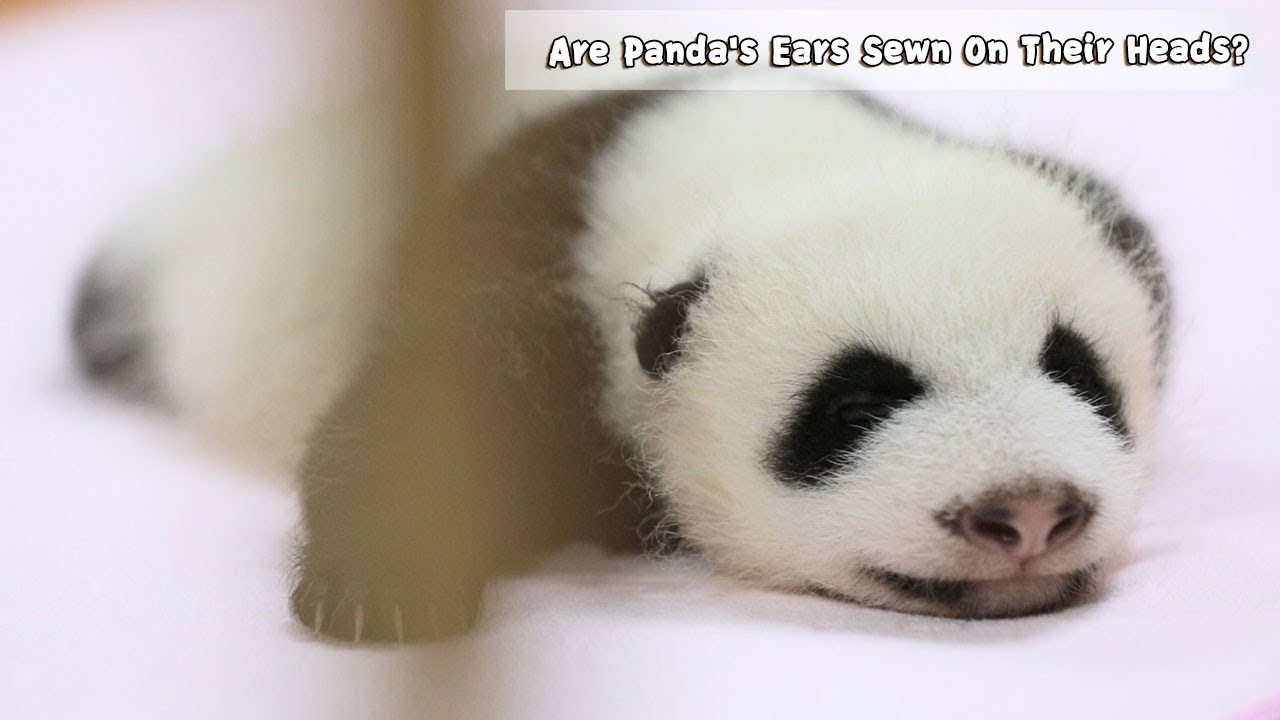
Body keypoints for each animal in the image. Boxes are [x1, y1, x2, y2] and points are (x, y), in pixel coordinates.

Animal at [72, 78, 1170, 643]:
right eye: (851, 409)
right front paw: (385, 591)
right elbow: (429, 398)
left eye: (1077, 372)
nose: (1027, 512)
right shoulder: (533, 257)